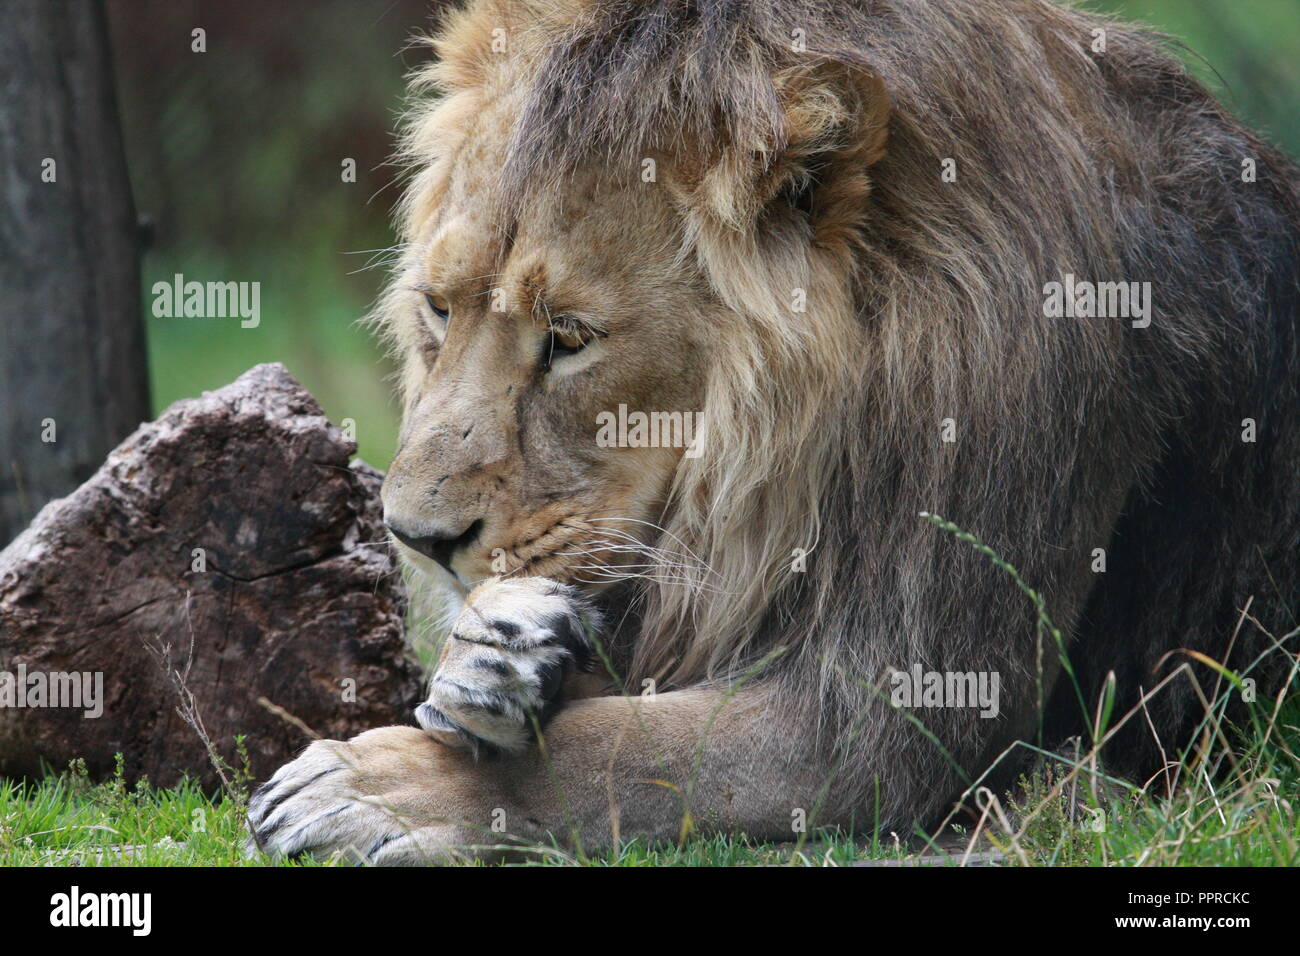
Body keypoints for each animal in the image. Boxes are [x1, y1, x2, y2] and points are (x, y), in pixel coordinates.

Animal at [248, 0, 1300, 863]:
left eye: (569, 339)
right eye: (437, 307)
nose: (416, 538)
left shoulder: (896, 719)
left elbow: (627, 749)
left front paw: (377, 784)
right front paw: (503, 657)